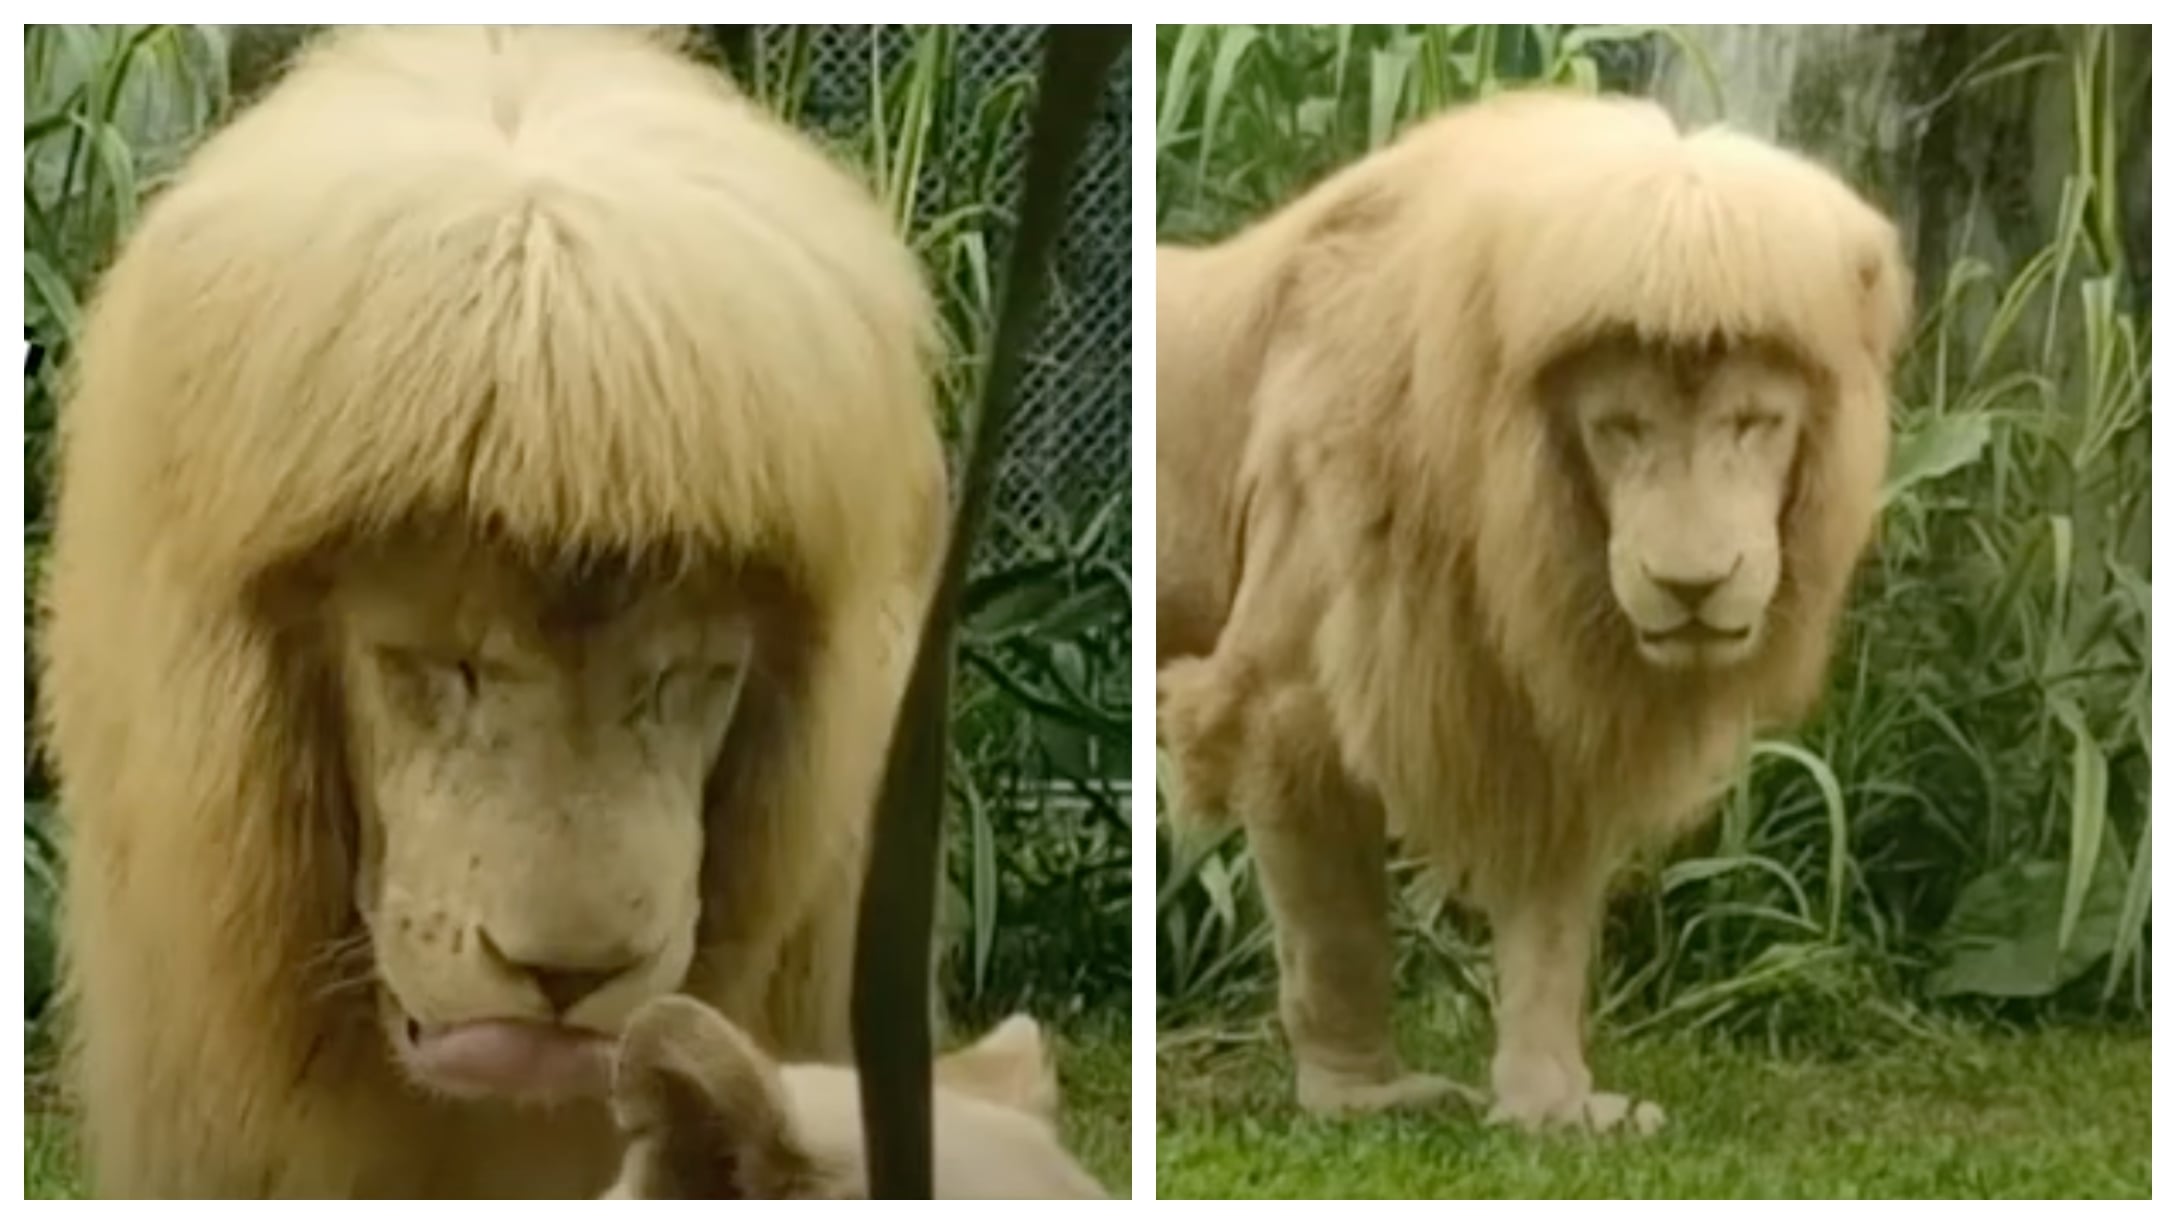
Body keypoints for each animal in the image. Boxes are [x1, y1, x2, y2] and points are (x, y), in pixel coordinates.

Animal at [1155, 90, 1908, 1133]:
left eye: (1754, 423)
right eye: (1620, 429)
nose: (1692, 585)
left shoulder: (1557, 715)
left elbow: (1550, 931)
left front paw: (1553, 1105)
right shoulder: (1286, 697)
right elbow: (1337, 931)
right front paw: (1362, 1095)